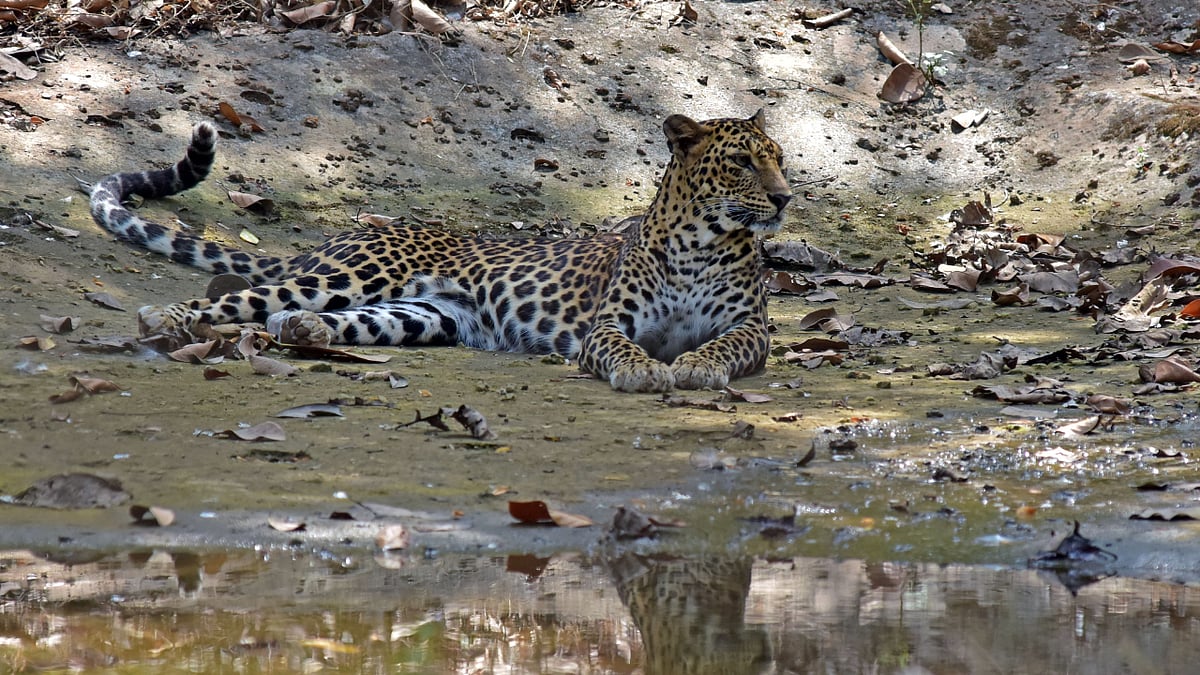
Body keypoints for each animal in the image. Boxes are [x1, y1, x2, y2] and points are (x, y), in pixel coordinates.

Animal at [89, 110, 791, 393]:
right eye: (741, 164)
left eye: (780, 159)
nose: (786, 198)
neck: (700, 241)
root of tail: (339, 235)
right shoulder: (608, 325)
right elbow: (623, 347)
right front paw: (647, 371)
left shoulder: (750, 328)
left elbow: (720, 345)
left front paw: (694, 365)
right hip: (350, 274)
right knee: (244, 298)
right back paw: (165, 319)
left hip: (422, 315)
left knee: (300, 317)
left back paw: (306, 330)